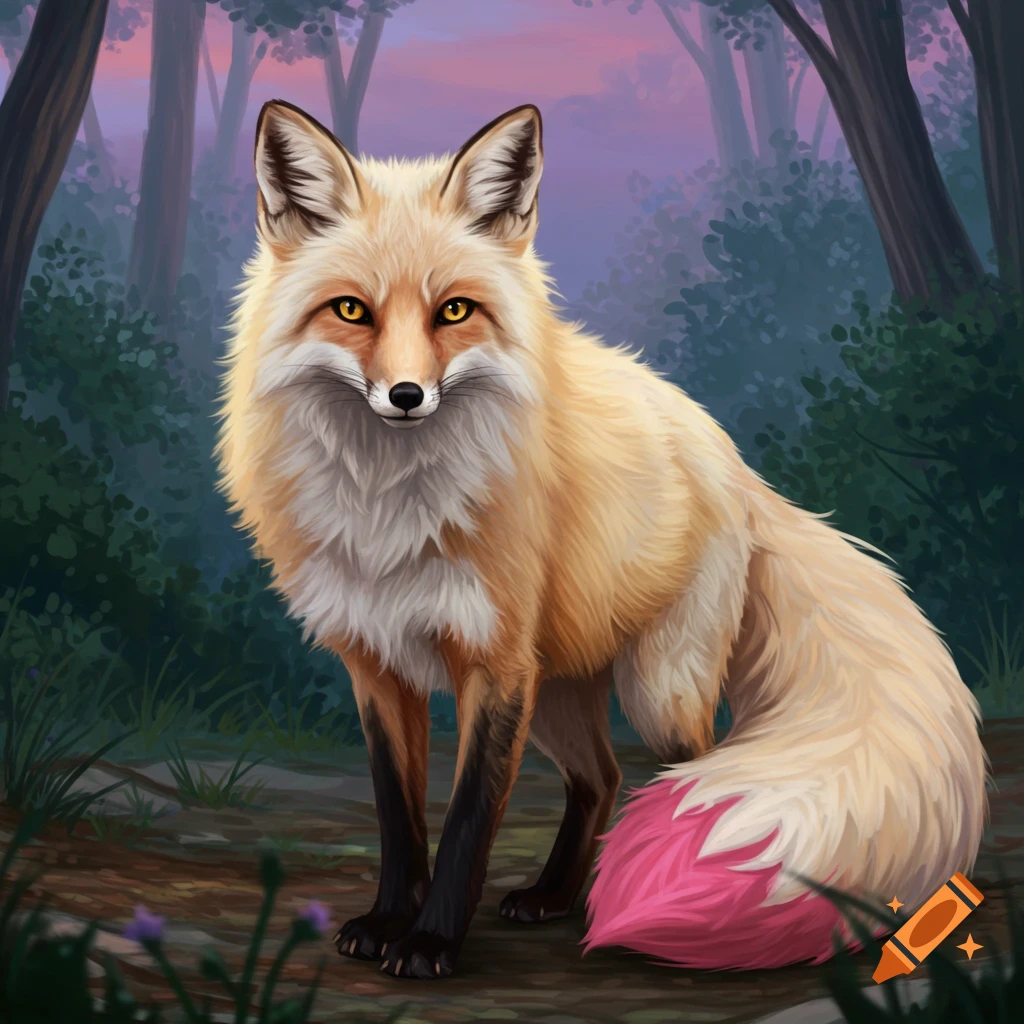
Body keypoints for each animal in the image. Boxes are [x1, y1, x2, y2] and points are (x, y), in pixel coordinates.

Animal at [215, 99, 989, 980]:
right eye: (352, 311)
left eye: (454, 311)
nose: (407, 395)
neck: (388, 510)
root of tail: (734, 463)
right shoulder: (376, 664)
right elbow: (400, 818)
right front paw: (387, 921)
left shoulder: (495, 666)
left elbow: (468, 822)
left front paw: (432, 942)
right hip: (557, 691)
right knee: (602, 776)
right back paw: (556, 894)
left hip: (654, 690)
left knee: (678, 768)